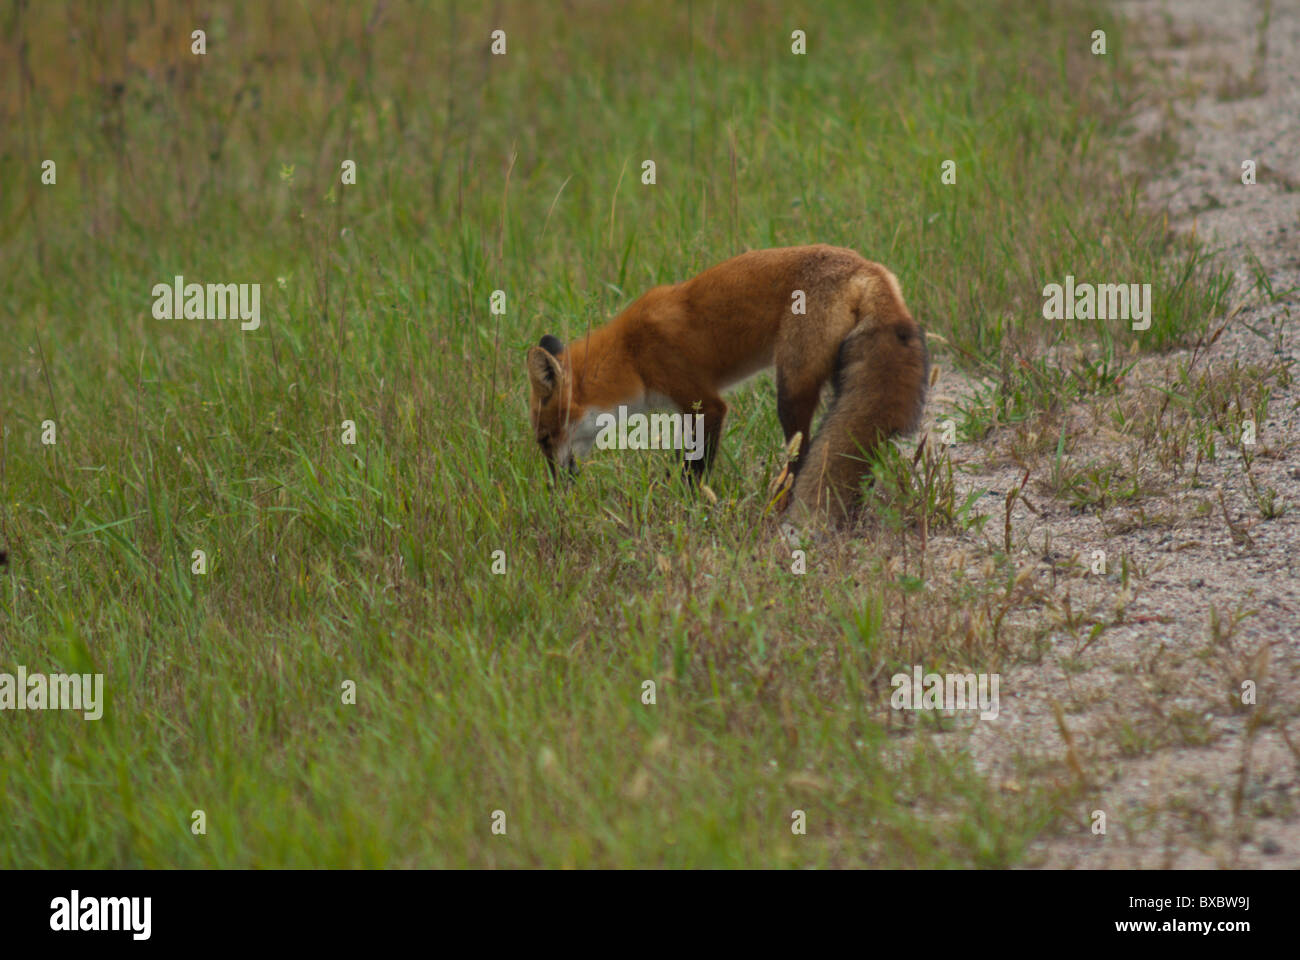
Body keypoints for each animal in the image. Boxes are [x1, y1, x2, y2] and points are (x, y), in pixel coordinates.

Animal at [525, 244, 928, 518]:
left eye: (544, 440)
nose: (554, 490)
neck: (630, 354)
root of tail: (867, 267)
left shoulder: (706, 404)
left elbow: (693, 468)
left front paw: (680, 507)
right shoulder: (685, 408)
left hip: (790, 388)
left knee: (802, 452)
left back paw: (779, 505)